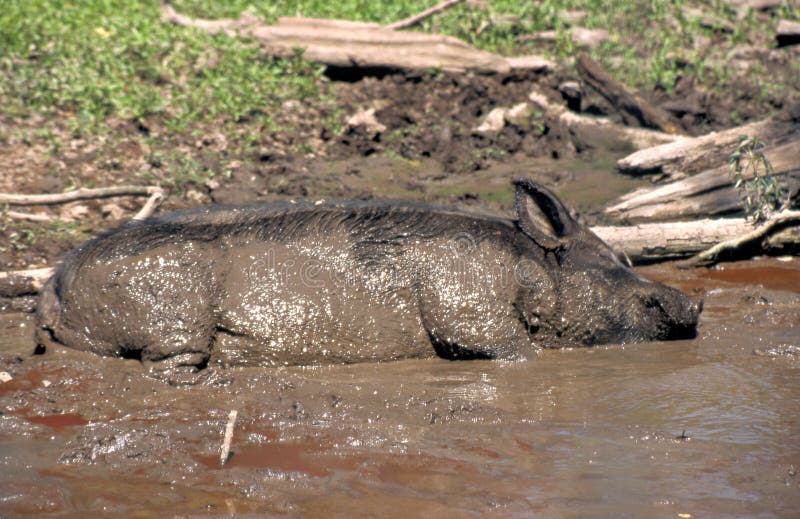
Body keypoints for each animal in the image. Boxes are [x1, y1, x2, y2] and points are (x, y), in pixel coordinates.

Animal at [35, 178, 701, 370]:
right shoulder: (466, 306)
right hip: (173, 317)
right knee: (170, 359)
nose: (694, 304)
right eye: (618, 264)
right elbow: (505, 347)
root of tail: (52, 284)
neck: (527, 270)